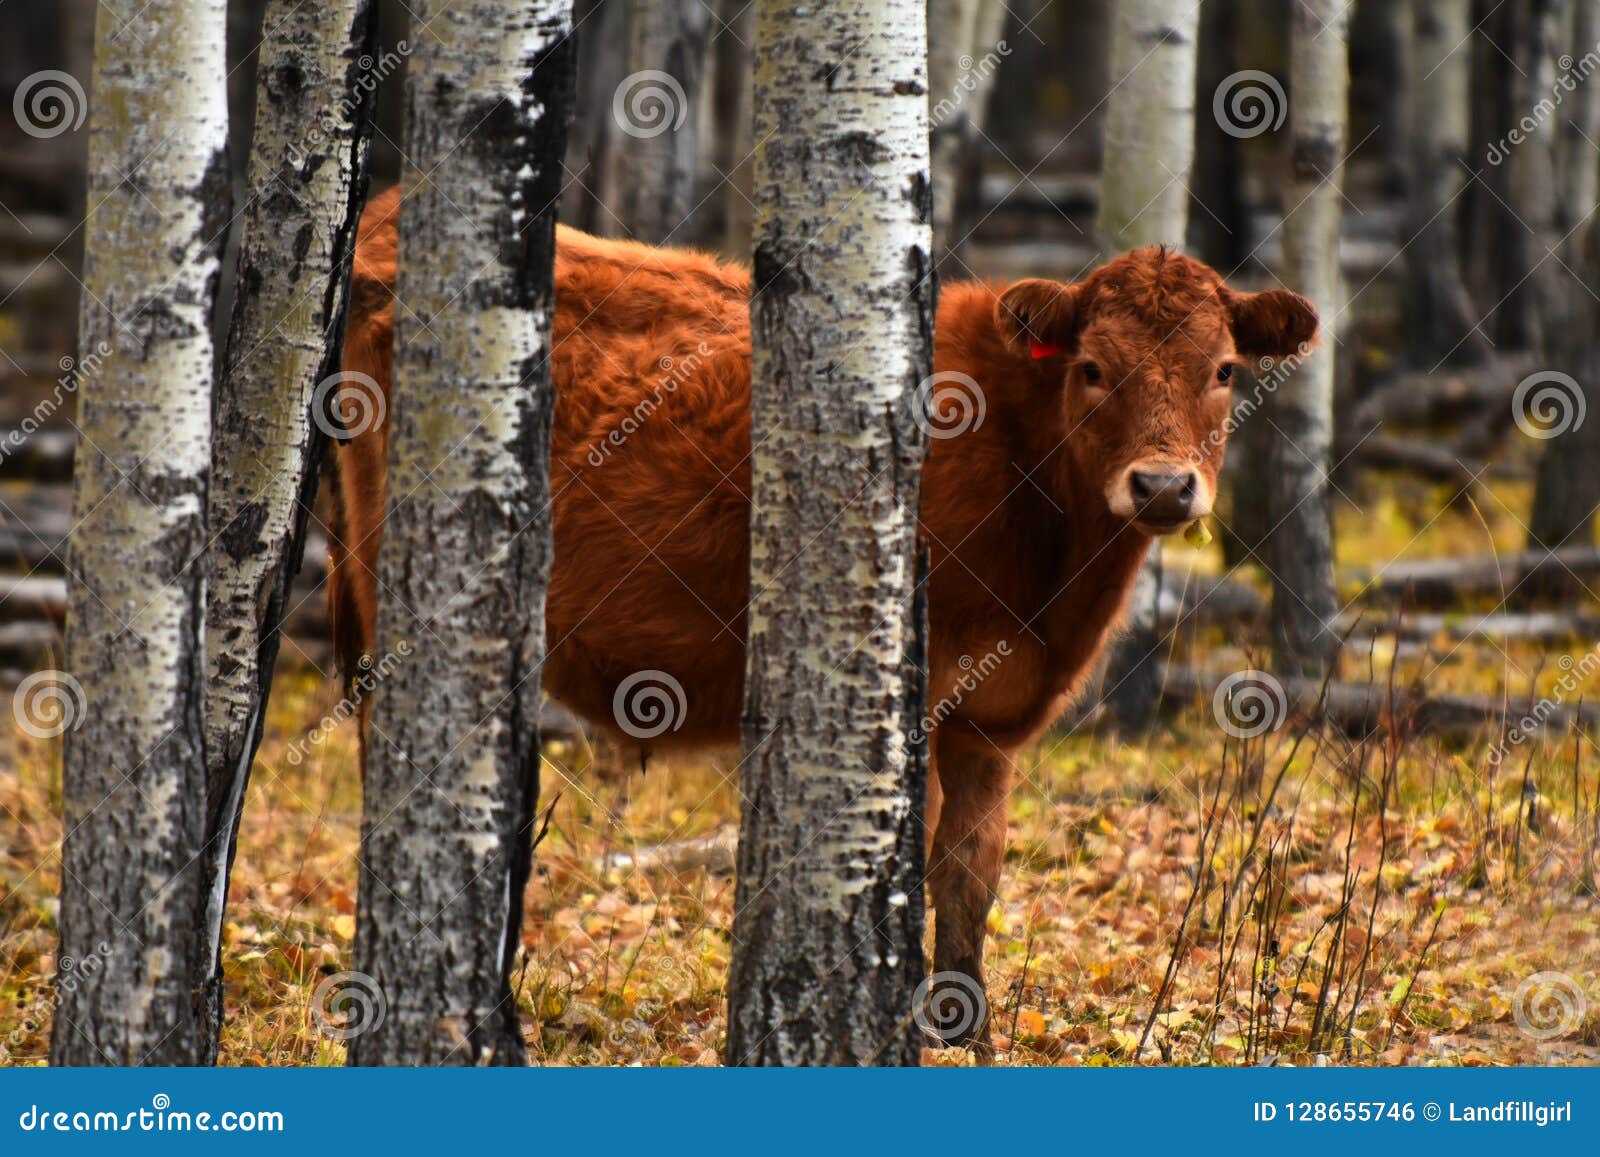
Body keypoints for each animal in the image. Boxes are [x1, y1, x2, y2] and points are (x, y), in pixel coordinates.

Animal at [326, 185, 1318, 1054]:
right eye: (1093, 369)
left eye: (1224, 371)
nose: (1162, 485)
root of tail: (388, 214)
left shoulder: (992, 722)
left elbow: (972, 874)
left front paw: (971, 1037)